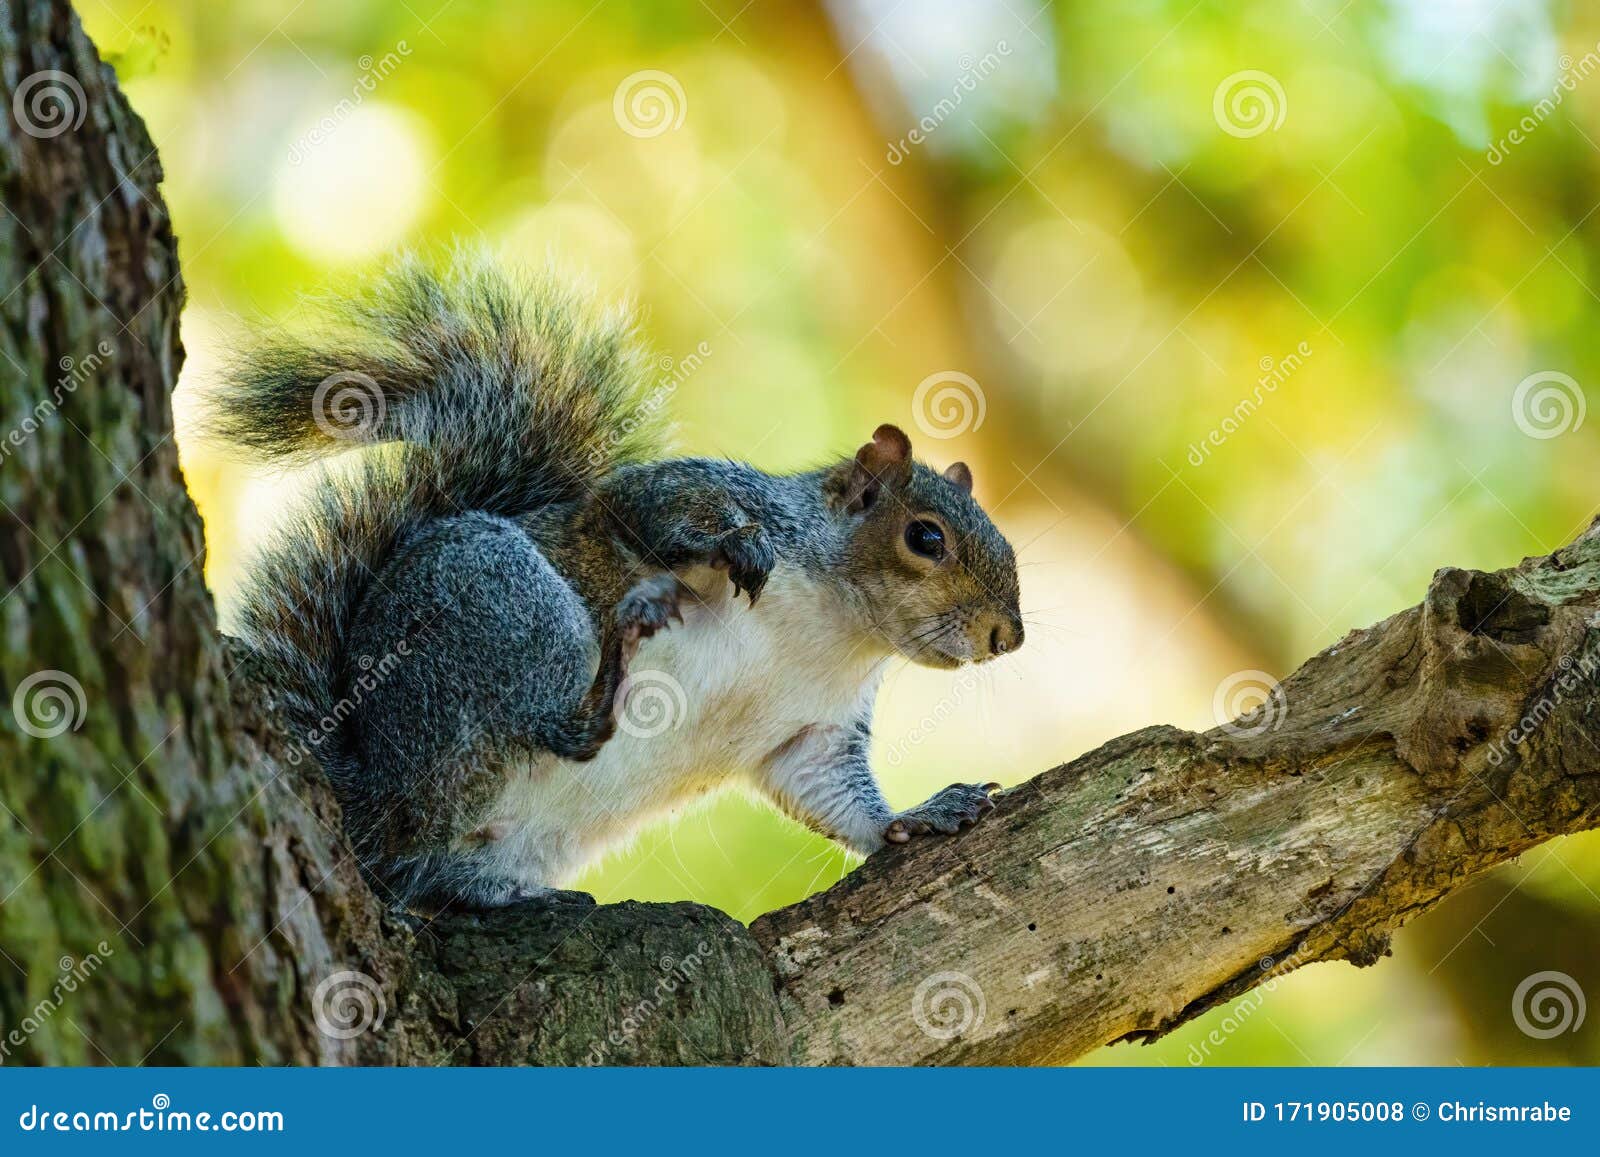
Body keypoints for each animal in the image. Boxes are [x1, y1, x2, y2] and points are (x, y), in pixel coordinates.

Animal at [205, 254, 1025, 910]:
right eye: (926, 537)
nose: (1008, 636)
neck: (835, 632)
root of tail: (367, 791)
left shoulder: (813, 733)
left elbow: (837, 797)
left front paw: (919, 814)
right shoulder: (691, 493)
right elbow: (645, 507)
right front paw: (733, 546)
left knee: (429, 873)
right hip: (506, 606)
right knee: (539, 731)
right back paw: (615, 667)